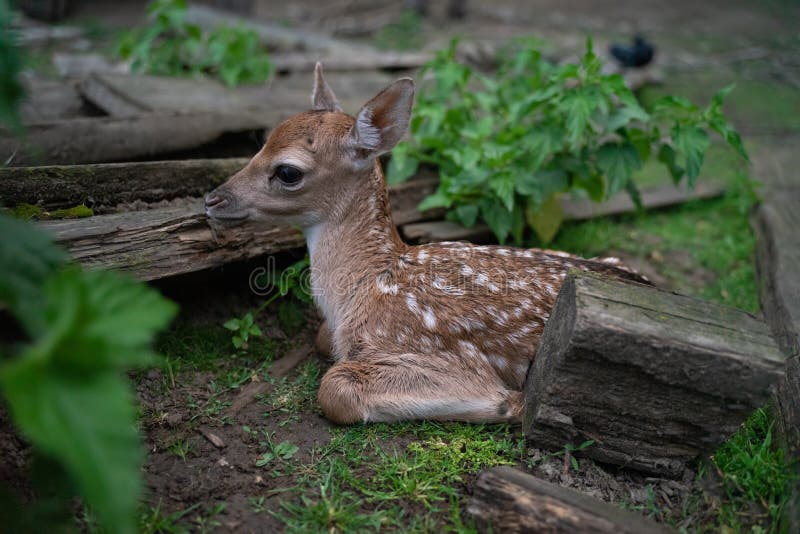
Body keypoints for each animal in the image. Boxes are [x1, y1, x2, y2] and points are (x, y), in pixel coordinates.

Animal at [205, 63, 647, 425]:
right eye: (260, 144)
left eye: (288, 172)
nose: (212, 200)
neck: (364, 288)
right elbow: (322, 336)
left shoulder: (439, 351)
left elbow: (335, 387)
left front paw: (507, 403)